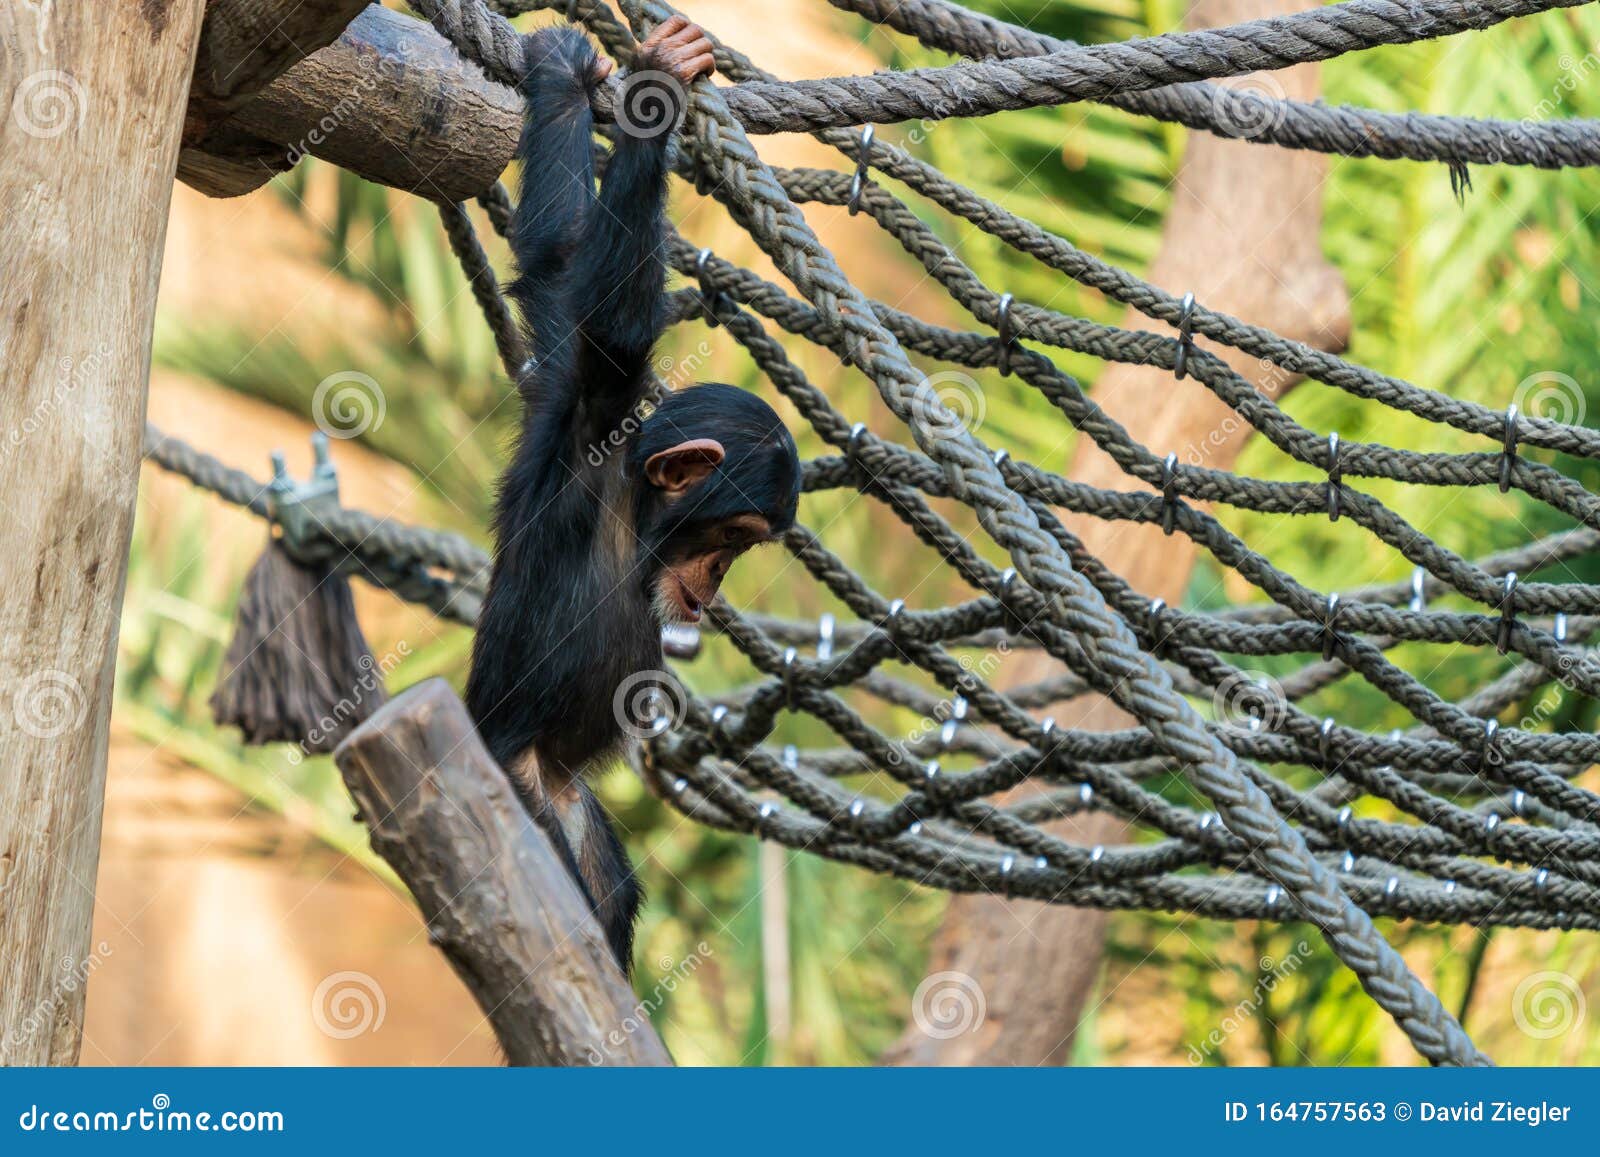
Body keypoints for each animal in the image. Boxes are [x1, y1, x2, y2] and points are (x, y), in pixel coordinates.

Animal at [465, 18, 802, 974]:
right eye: (737, 534)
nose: (720, 578)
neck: (635, 508)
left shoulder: (554, 380)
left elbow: (556, 267)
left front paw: (568, 76)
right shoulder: (590, 411)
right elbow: (613, 325)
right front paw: (661, 83)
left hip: (575, 812)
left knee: (612, 896)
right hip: (519, 808)